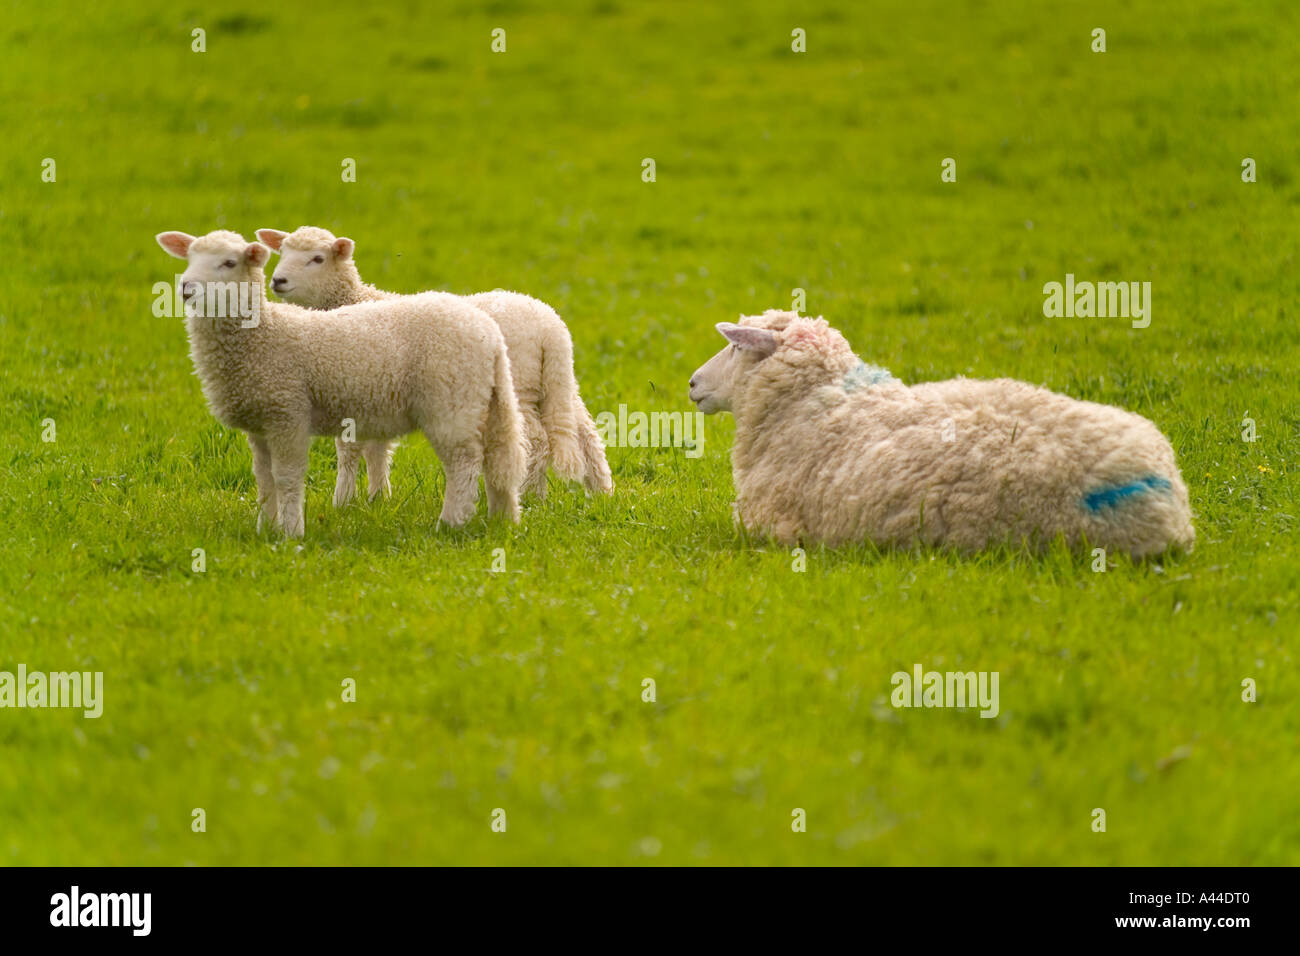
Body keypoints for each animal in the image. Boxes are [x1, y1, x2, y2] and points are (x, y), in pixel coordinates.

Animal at [155, 229, 526, 536]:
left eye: (229, 263)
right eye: (189, 258)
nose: (186, 288)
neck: (262, 335)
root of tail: (490, 333)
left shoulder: (287, 413)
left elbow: (287, 477)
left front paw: (291, 533)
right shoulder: (260, 422)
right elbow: (264, 480)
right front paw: (265, 528)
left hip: (450, 401)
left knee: (464, 464)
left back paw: (450, 523)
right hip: (481, 398)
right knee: (496, 458)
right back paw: (502, 518)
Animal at [254, 226, 613, 502]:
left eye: (317, 259)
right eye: (281, 252)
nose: (278, 280)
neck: (355, 299)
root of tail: (551, 327)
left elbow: (351, 449)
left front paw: (344, 501)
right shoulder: (377, 389)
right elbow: (377, 449)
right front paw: (378, 498)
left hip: (521, 384)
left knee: (537, 441)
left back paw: (531, 495)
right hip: (555, 382)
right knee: (585, 432)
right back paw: (601, 492)